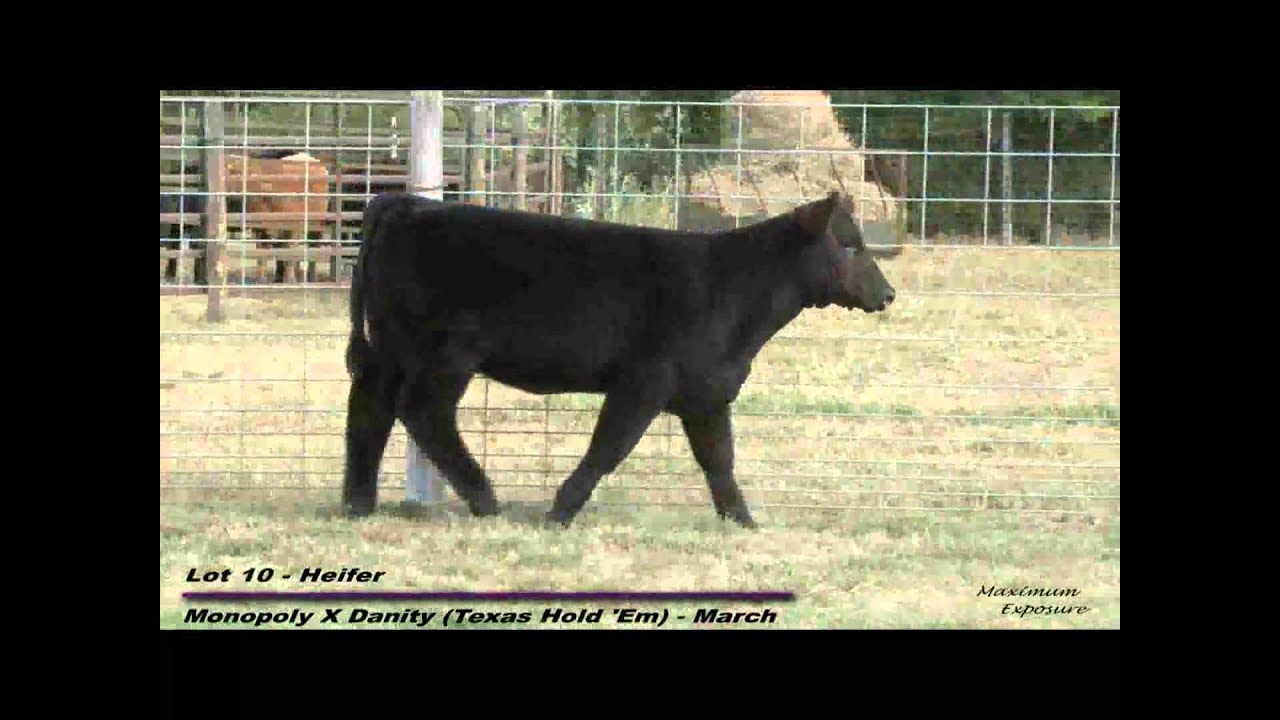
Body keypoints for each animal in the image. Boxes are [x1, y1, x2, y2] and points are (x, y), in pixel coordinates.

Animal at [340, 189, 897, 529]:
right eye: (851, 246)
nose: (888, 294)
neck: (730, 287)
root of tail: (408, 203)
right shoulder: (643, 383)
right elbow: (609, 447)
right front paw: (560, 513)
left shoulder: (706, 392)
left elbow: (719, 459)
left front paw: (742, 520)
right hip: (444, 353)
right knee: (423, 413)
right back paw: (484, 498)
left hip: (390, 352)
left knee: (370, 410)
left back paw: (358, 503)